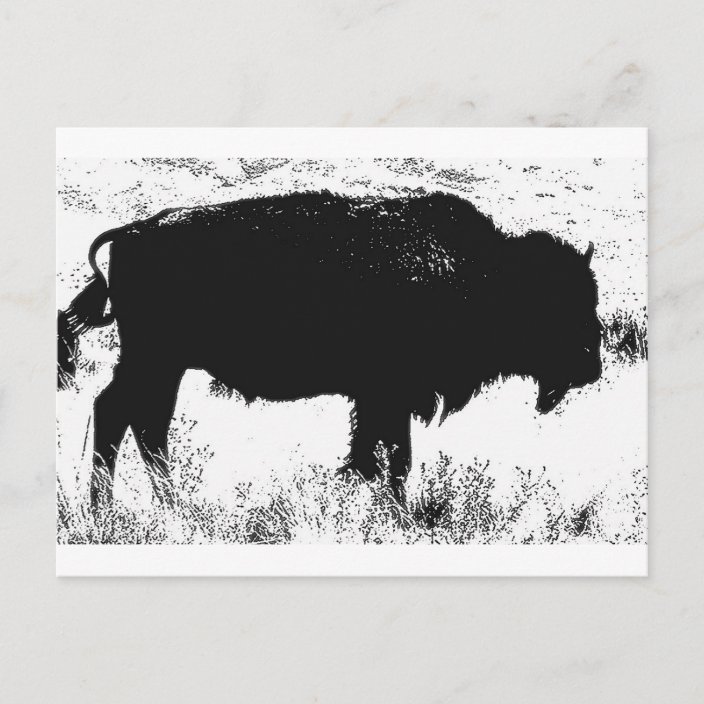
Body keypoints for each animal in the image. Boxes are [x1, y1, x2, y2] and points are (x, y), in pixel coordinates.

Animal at [57, 191, 602, 507]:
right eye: (556, 304)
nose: (591, 366)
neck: (478, 273)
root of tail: (133, 230)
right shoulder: (391, 393)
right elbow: (394, 456)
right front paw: (397, 512)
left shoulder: (380, 397)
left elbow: (376, 451)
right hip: (156, 360)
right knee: (125, 415)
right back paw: (117, 510)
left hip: (162, 365)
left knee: (140, 421)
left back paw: (163, 508)